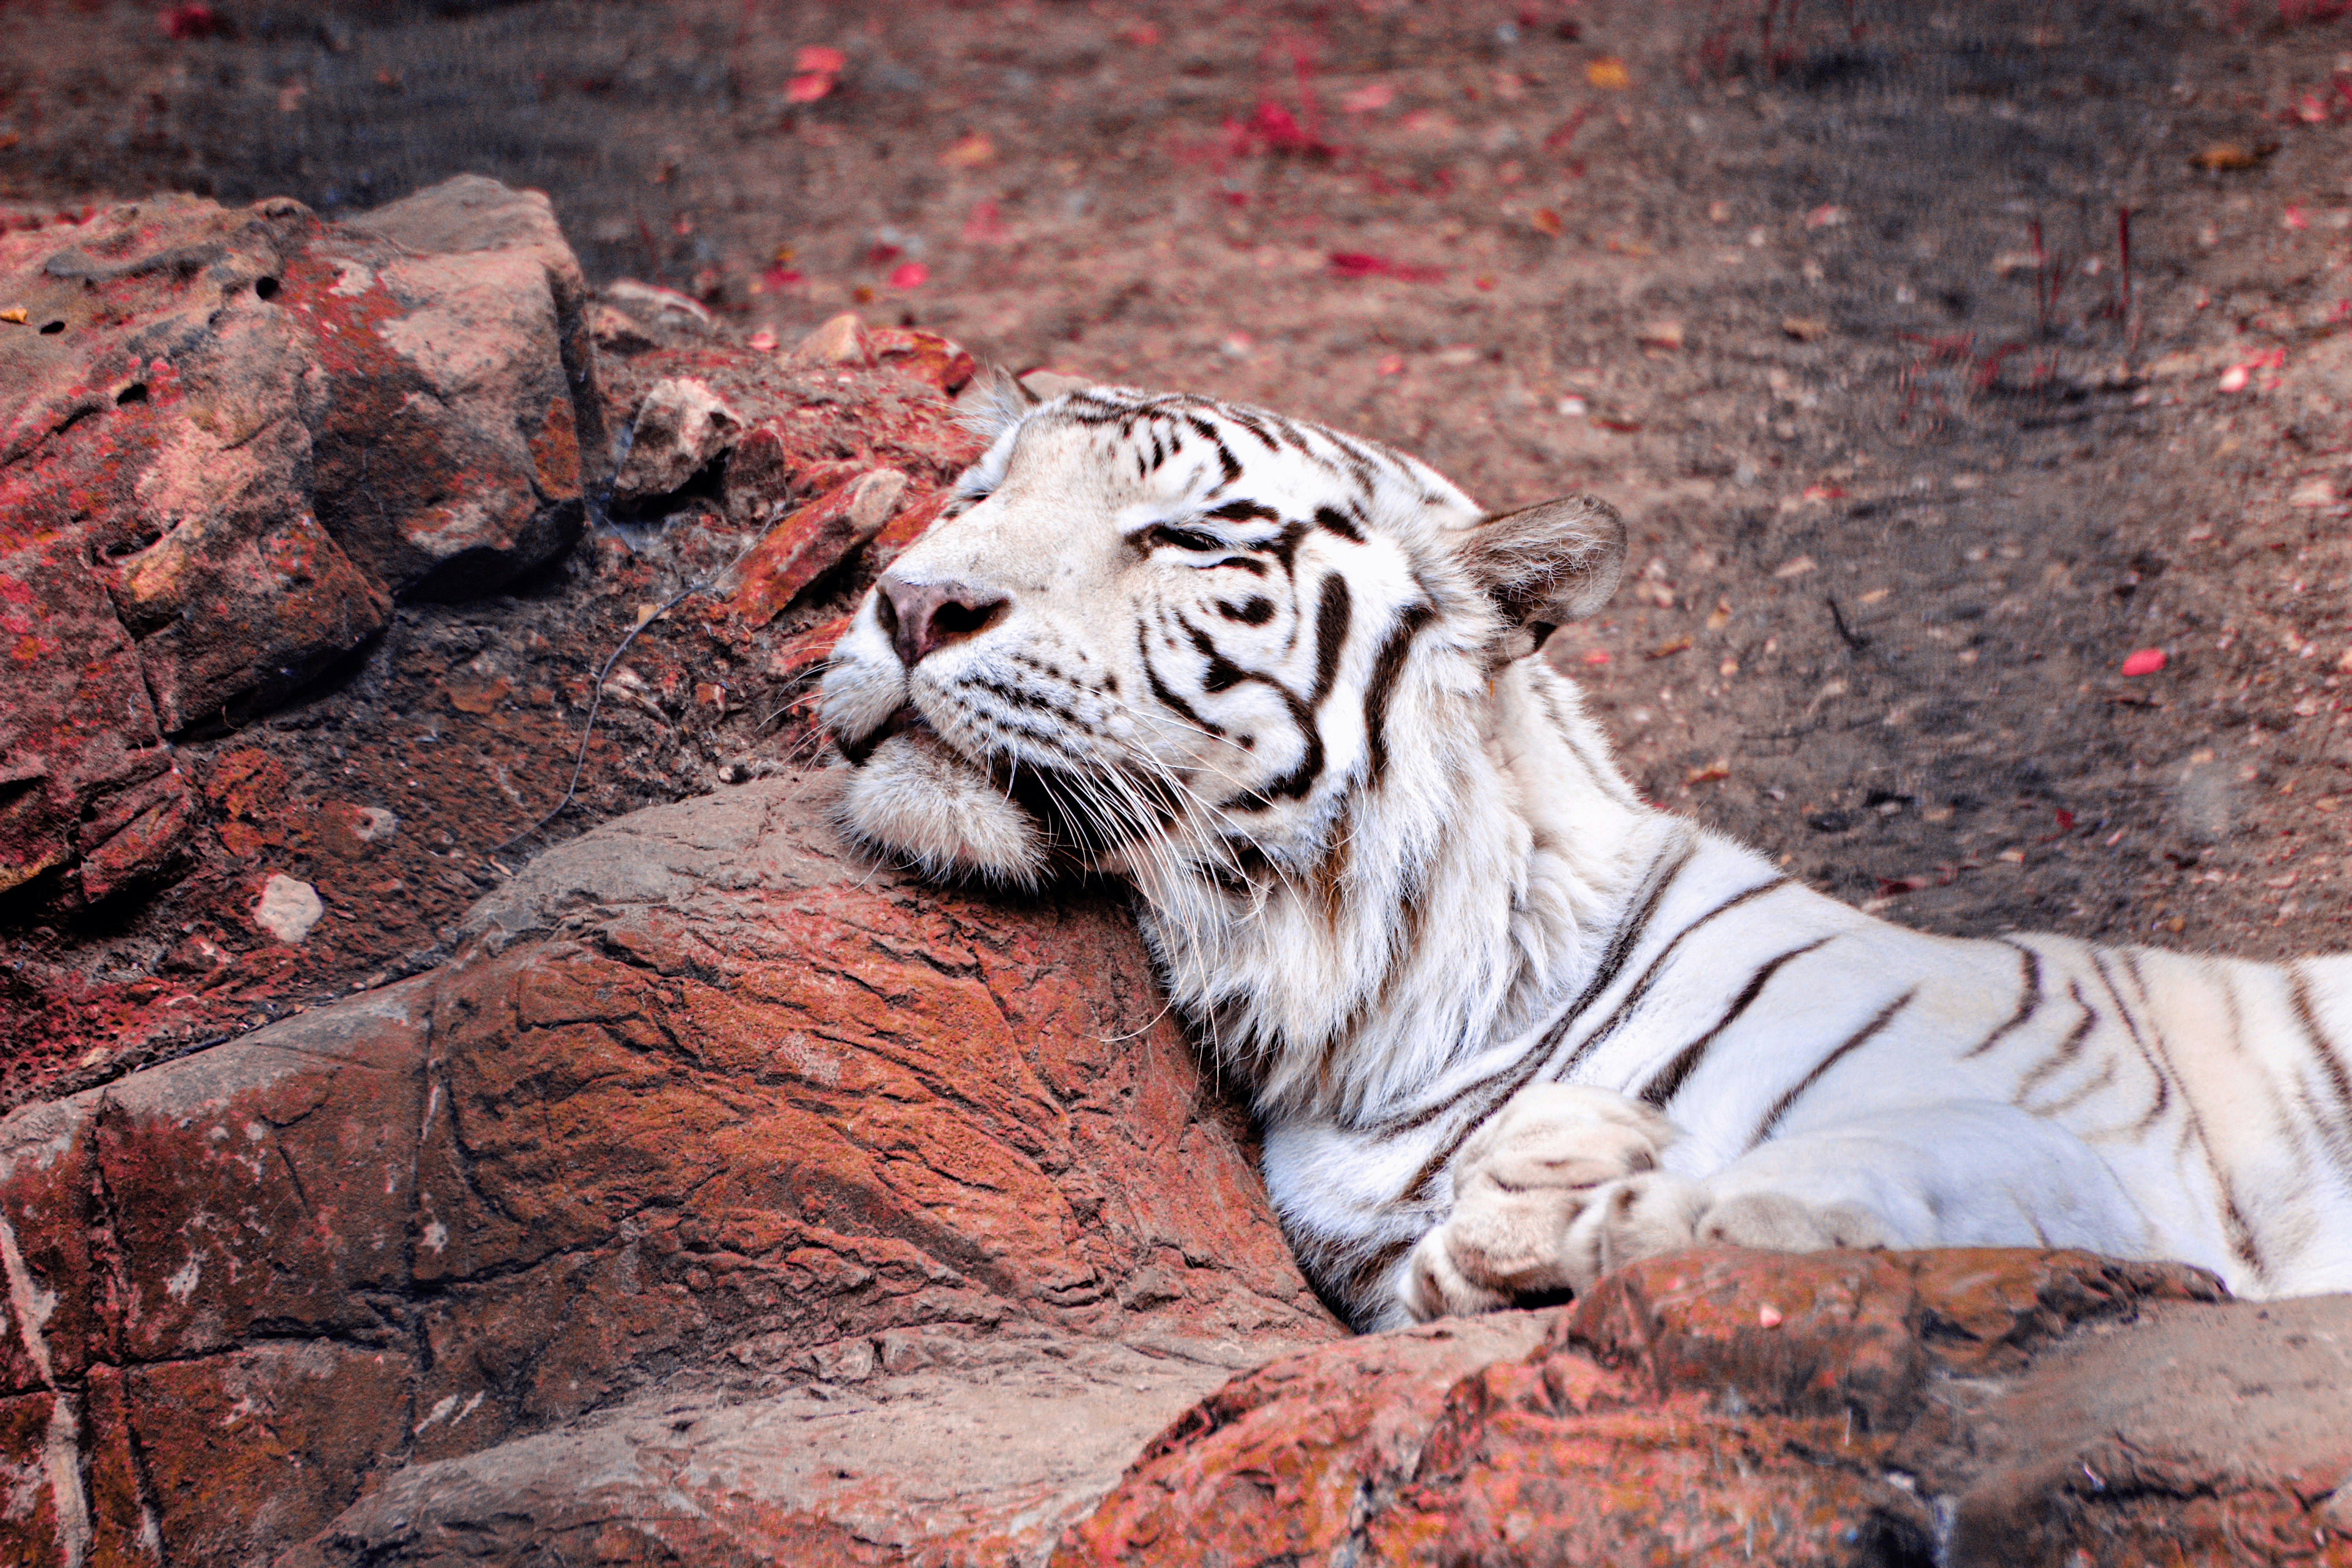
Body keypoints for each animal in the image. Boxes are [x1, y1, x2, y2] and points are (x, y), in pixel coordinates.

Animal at [815, 379, 2352, 1333]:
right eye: (972, 494)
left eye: (1185, 538)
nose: (911, 601)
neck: (1369, 1023)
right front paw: (1542, 1208)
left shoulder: (2101, 1154)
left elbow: (1850, 1176)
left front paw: (1624, 1193)